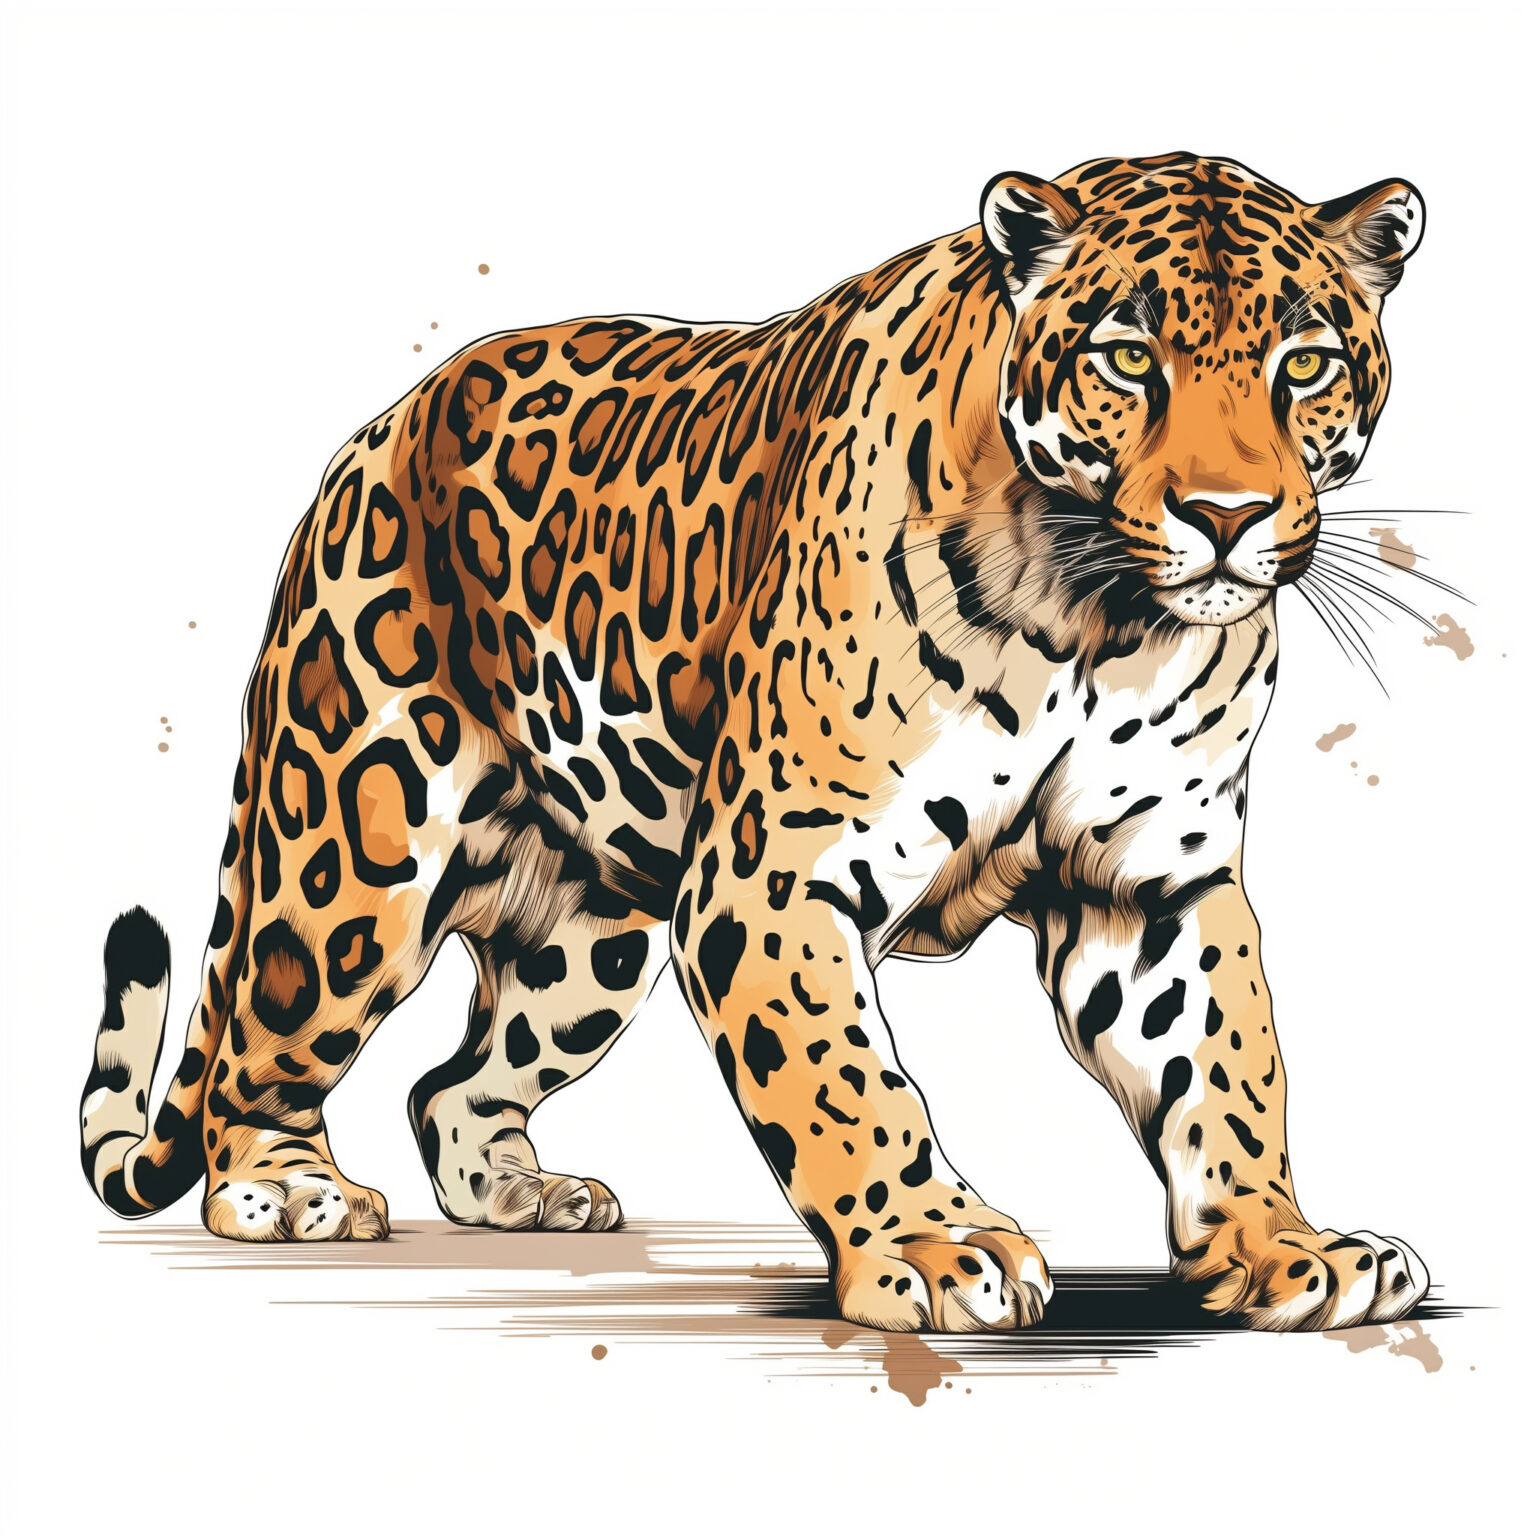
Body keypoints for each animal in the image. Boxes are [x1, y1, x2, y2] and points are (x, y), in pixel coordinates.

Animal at [81, 152, 1432, 1332]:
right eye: (1128, 358)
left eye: (1306, 364)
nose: (1226, 516)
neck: (1095, 616)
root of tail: (372, 439)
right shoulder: (775, 870)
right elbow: (844, 1080)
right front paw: (934, 1246)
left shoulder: (1153, 882)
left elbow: (1228, 1075)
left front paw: (1285, 1250)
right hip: (352, 860)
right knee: (261, 1047)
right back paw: (285, 1188)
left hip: (594, 943)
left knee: (448, 1084)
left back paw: (524, 1191)